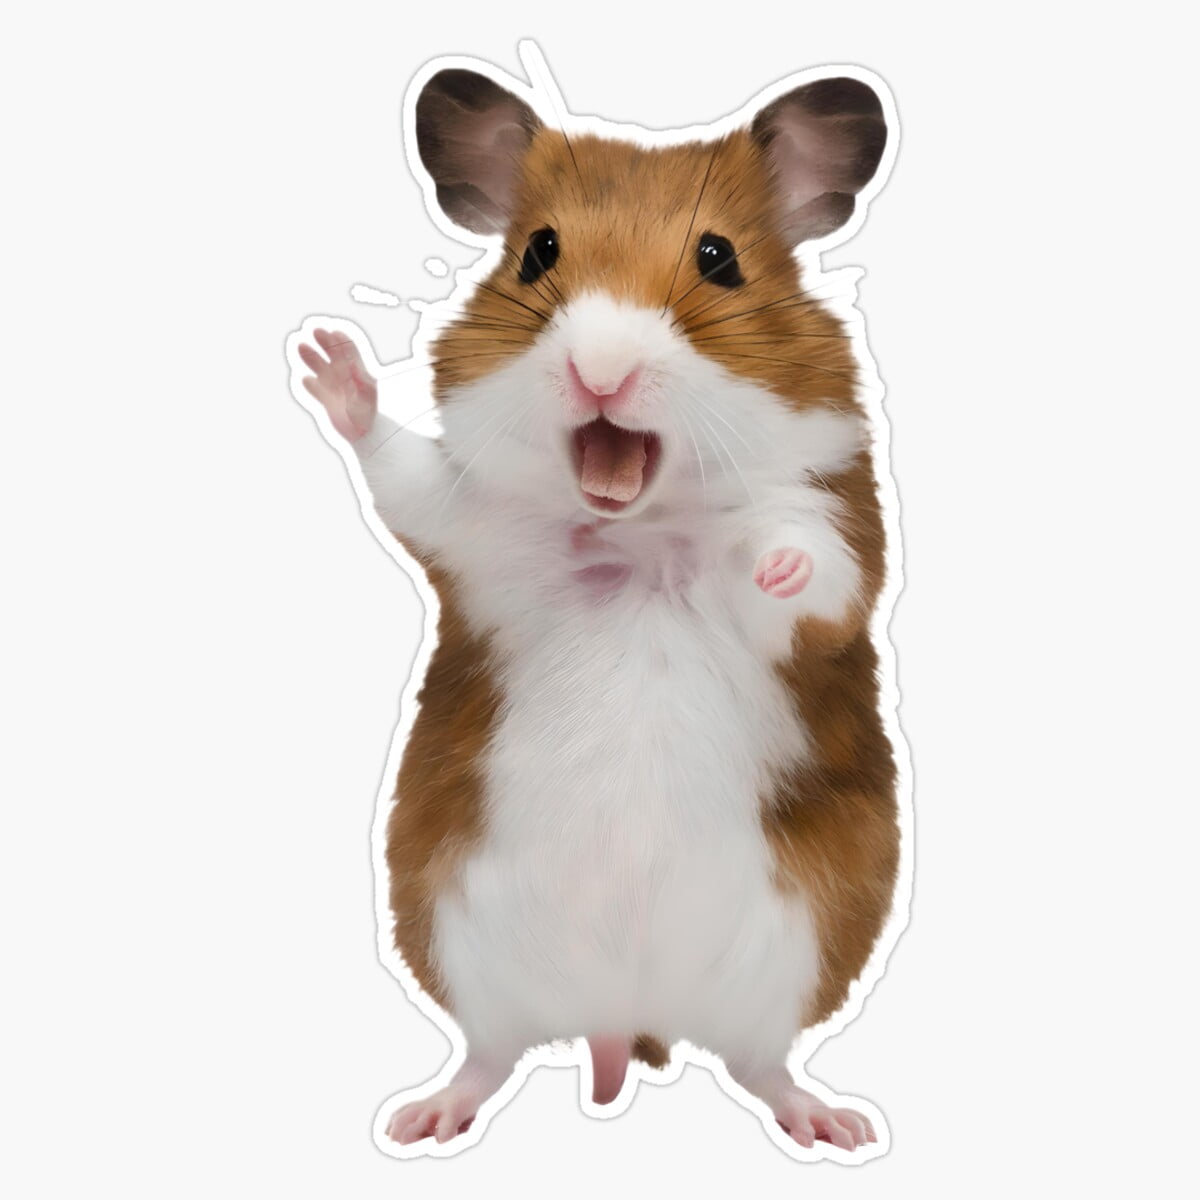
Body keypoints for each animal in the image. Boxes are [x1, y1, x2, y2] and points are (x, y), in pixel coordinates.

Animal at [296, 63, 901, 1156]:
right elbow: (404, 476)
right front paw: (332, 364)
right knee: (490, 1053)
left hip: (791, 954)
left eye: (719, 259)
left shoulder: (837, 529)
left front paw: (773, 566)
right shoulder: (468, 526)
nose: (601, 372)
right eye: (538, 253)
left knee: (762, 1063)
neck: (636, 531)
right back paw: (425, 1120)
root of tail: (627, 1013)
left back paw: (829, 1126)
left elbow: (816, 574)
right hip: (462, 933)